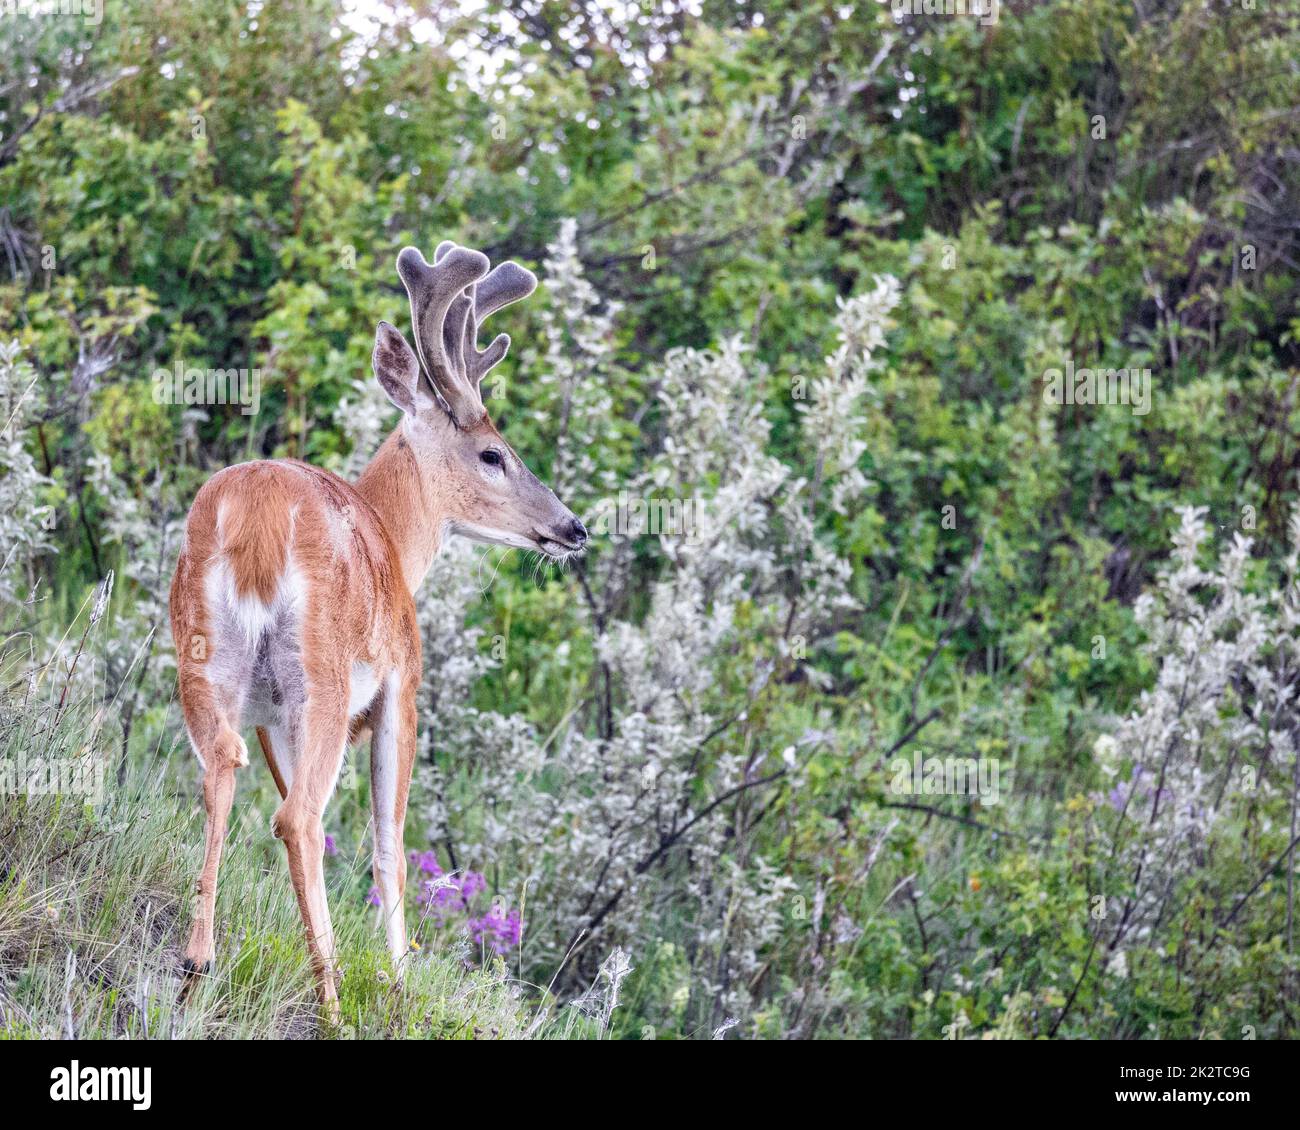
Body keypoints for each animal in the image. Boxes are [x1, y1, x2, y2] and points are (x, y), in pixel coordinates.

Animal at [168, 241, 587, 1014]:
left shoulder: (273, 717)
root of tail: (257, 518)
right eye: (494, 452)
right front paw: (400, 976)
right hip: (324, 673)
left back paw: (196, 964)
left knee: (223, 769)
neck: (392, 531)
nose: (573, 528)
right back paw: (331, 998)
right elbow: (390, 844)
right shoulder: (402, 683)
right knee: (300, 818)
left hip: (206, 658)